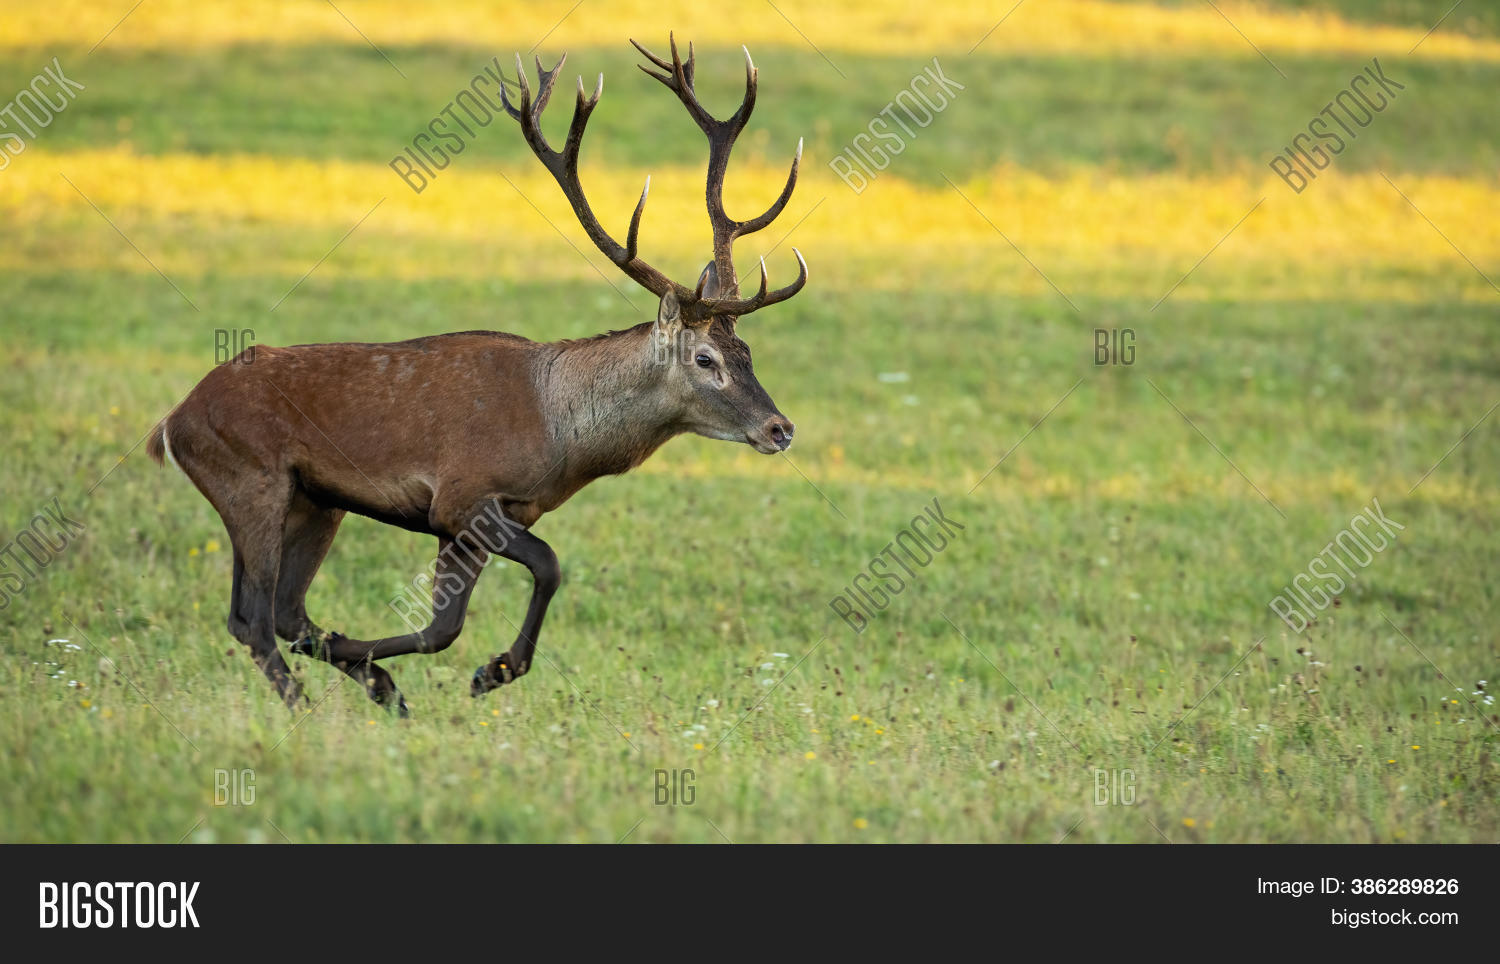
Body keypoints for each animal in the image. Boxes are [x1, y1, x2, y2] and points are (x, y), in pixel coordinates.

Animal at [145, 35, 808, 716]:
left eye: (748, 351)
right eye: (706, 359)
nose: (780, 428)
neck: (560, 438)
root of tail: (171, 423)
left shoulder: (475, 521)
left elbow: (444, 627)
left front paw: (438, 674)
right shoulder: (462, 497)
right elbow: (545, 568)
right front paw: (486, 669)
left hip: (315, 502)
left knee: (282, 611)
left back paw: (363, 686)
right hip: (249, 480)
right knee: (252, 618)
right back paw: (309, 704)